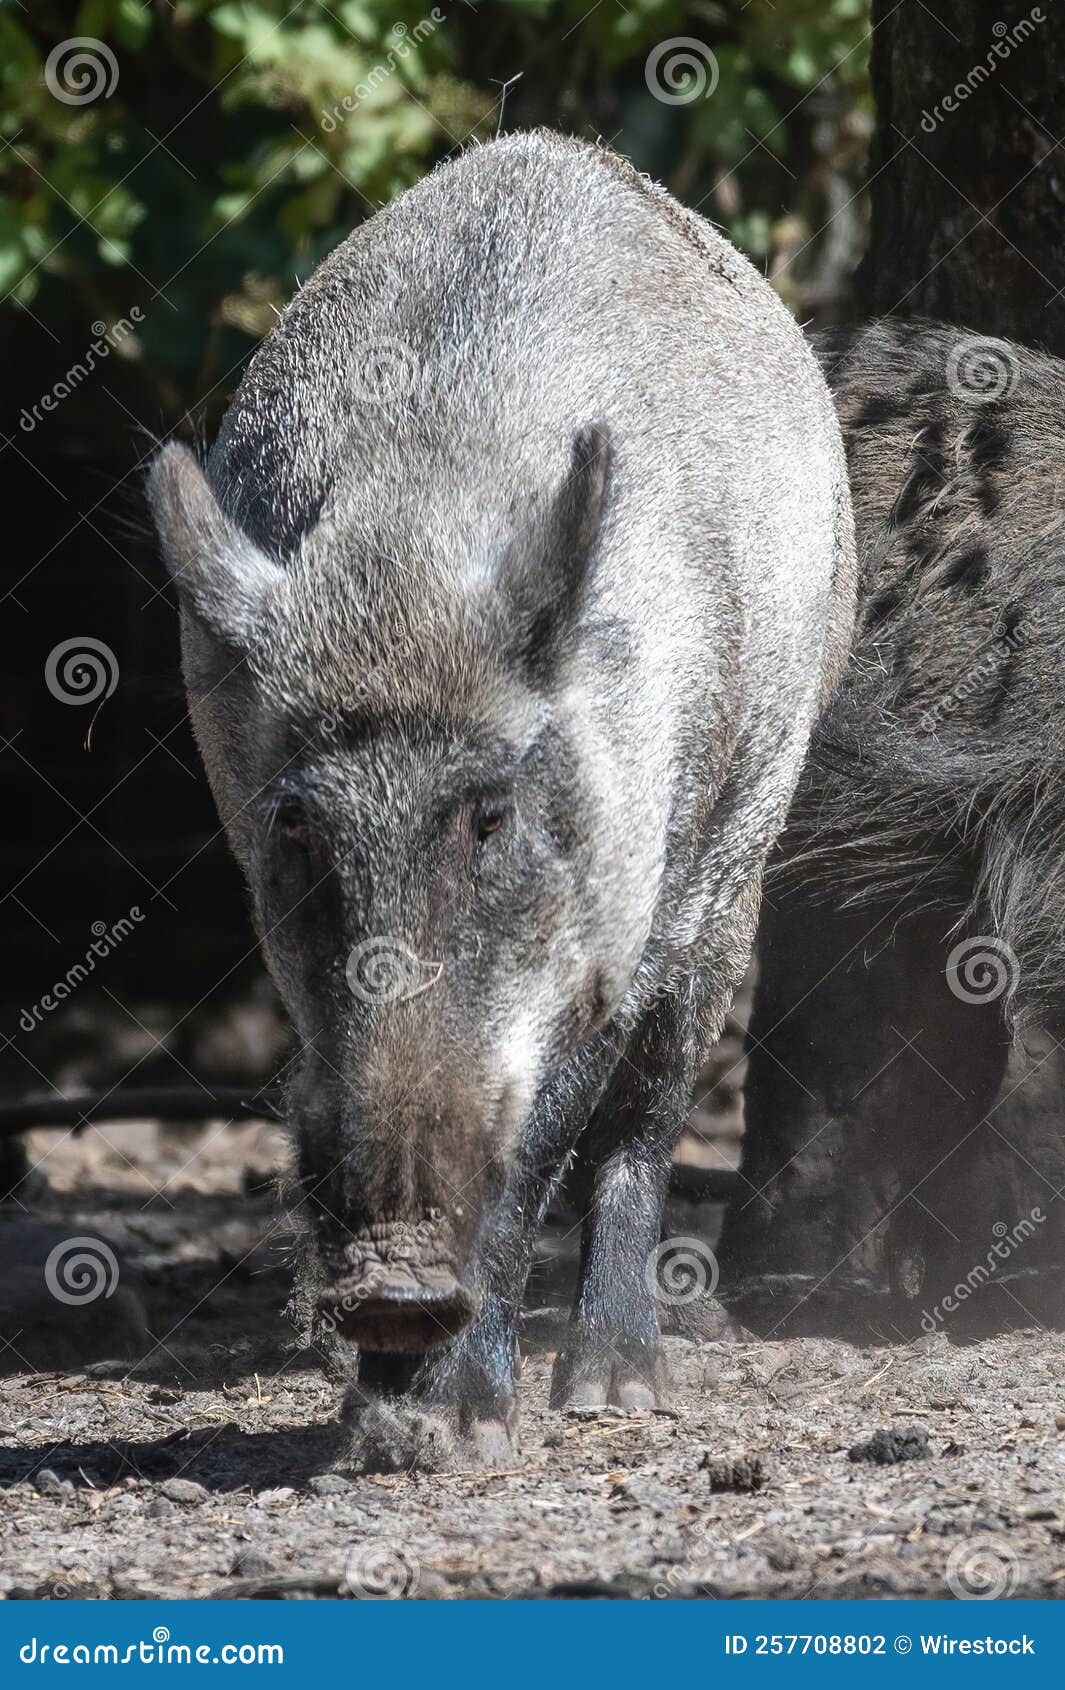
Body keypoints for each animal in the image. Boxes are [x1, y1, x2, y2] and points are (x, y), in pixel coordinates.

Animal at [150, 130, 855, 1469]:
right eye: (298, 823)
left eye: (492, 816)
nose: (391, 1280)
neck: (411, 561)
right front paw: (376, 1427)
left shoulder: (627, 911)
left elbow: (544, 1139)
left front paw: (463, 1431)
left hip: (740, 845)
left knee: (650, 1111)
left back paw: (614, 1391)